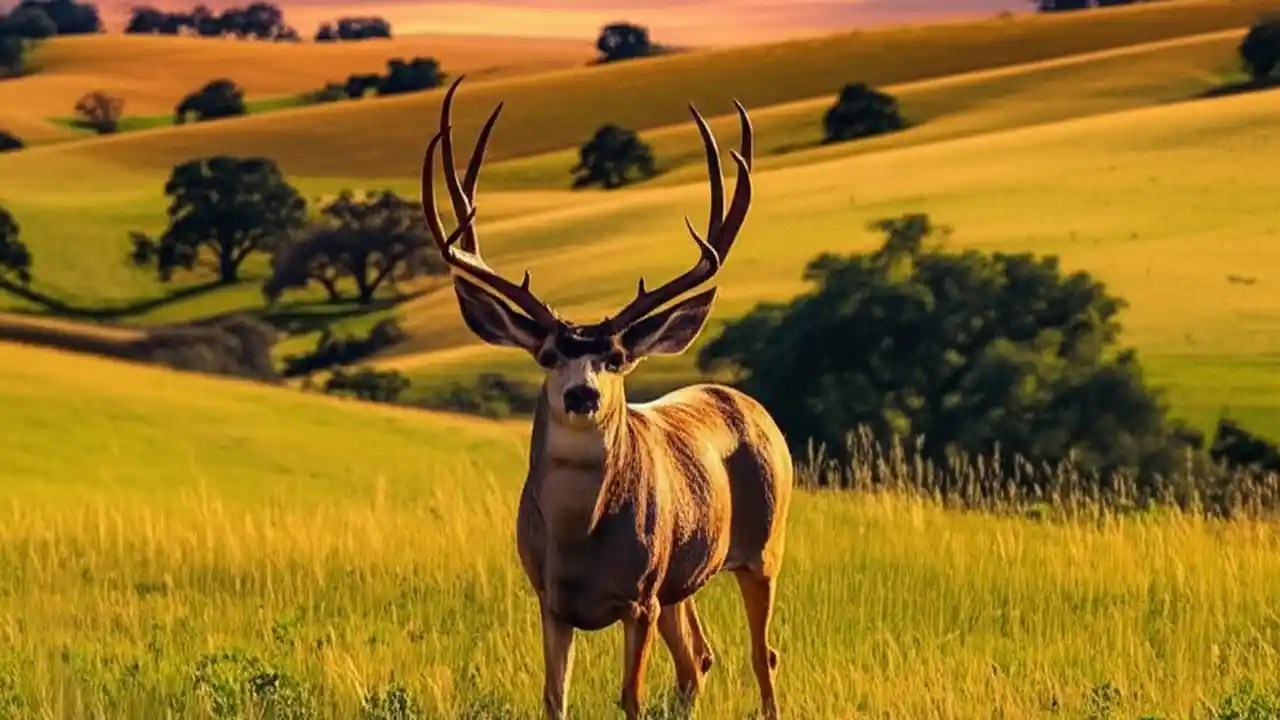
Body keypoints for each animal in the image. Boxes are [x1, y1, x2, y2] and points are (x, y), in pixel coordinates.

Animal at [420, 77, 793, 720]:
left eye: (615, 357)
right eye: (549, 354)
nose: (582, 394)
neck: (580, 541)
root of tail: (750, 405)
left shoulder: (638, 596)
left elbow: (630, 698)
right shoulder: (548, 597)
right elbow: (554, 698)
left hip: (763, 547)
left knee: (760, 655)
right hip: (681, 580)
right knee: (698, 661)